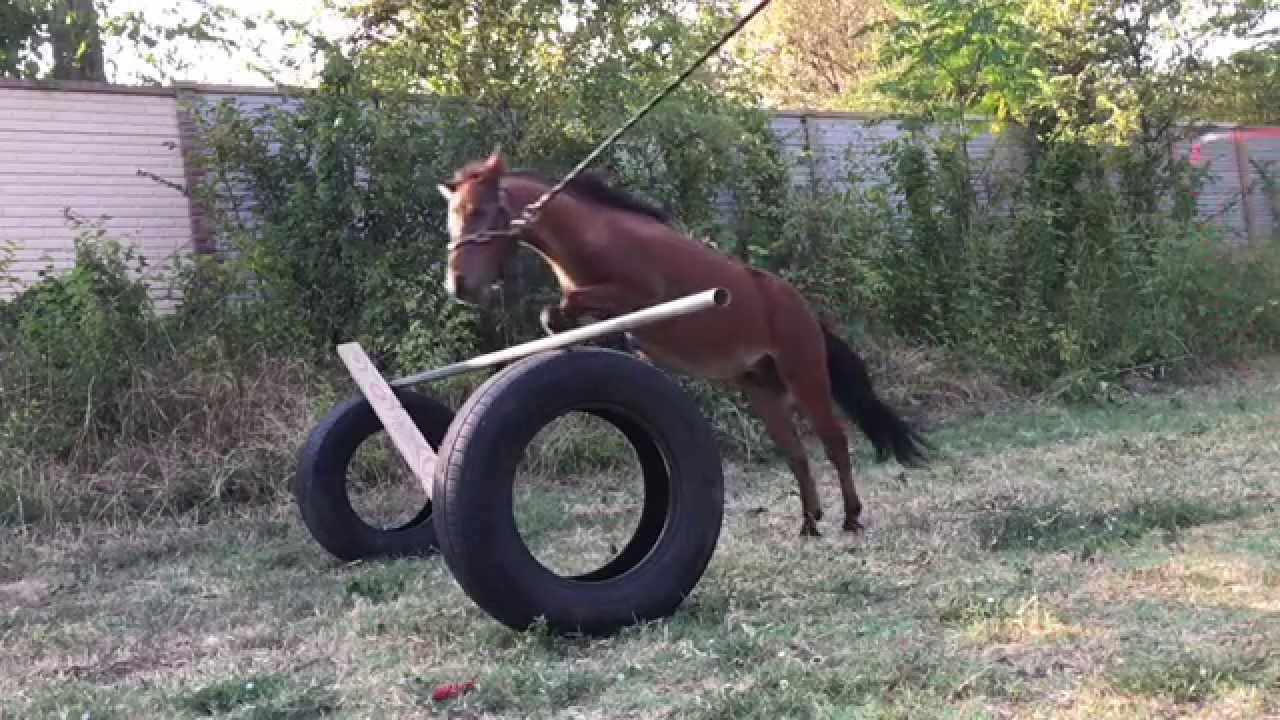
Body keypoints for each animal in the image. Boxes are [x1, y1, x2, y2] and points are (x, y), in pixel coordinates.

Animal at [436, 151, 928, 537]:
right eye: (453, 217)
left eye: (480, 211)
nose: (458, 286)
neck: (595, 237)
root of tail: (805, 312)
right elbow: (565, 314)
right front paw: (572, 335)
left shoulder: (640, 297)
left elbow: (572, 302)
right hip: (762, 391)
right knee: (797, 456)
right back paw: (809, 523)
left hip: (805, 380)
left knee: (835, 444)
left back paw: (851, 518)